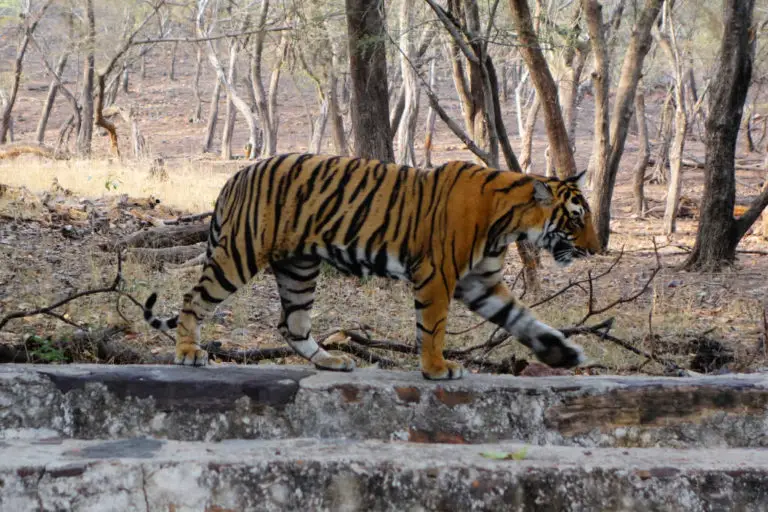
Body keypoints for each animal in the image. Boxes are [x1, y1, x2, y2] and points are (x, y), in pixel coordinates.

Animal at [144, 153, 600, 380]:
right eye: (577, 219)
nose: (597, 249)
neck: (509, 224)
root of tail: (235, 176)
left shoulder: (482, 282)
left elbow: (523, 318)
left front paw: (562, 353)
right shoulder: (438, 275)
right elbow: (433, 328)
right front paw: (437, 369)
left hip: (299, 268)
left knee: (291, 325)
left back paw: (330, 361)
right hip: (240, 252)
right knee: (192, 298)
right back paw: (188, 353)